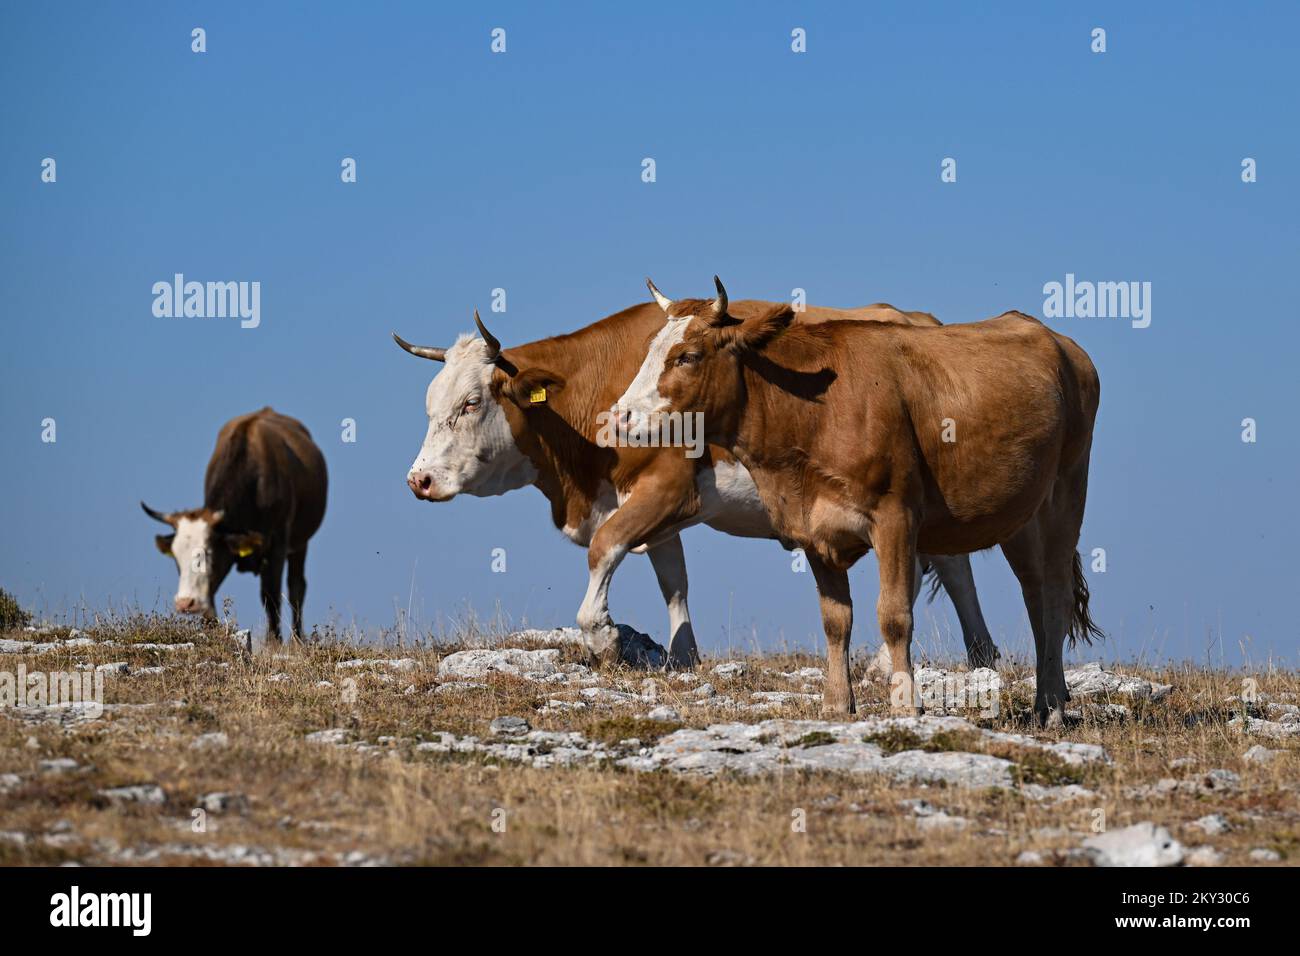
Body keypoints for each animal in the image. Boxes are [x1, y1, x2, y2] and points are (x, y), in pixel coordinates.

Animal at [141, 407, 328, 642]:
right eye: (176, 556)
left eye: (208, 553)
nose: (186, 603)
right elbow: (210, 598)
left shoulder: (277, 544)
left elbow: (271, 594)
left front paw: (273, 642)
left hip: (301, 541)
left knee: (296, 587)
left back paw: (297, 640)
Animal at [392, 298, 1000, 671]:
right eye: (430, 405)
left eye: (472, 403)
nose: (419, 479)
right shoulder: (651, 505)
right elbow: (673, 580)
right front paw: (683, 655)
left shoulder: (666, 486)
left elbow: (604, 548)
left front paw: (606, 638)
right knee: (953, 565)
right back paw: (981, 652)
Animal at [615, 277, 1101, 726]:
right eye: (650, 350)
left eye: (688, 356)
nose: (621, 415)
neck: (812, 417)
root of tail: (1053, 337)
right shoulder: (811, 529)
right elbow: (836, 620)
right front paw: (835, 702)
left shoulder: (895, 516)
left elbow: (894, 615)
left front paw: (905, 703)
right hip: (1021, 517)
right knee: (1036, 595)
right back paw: (1047, 699)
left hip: (1065, 496)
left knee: (1055, 595)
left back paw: (1052, 705)